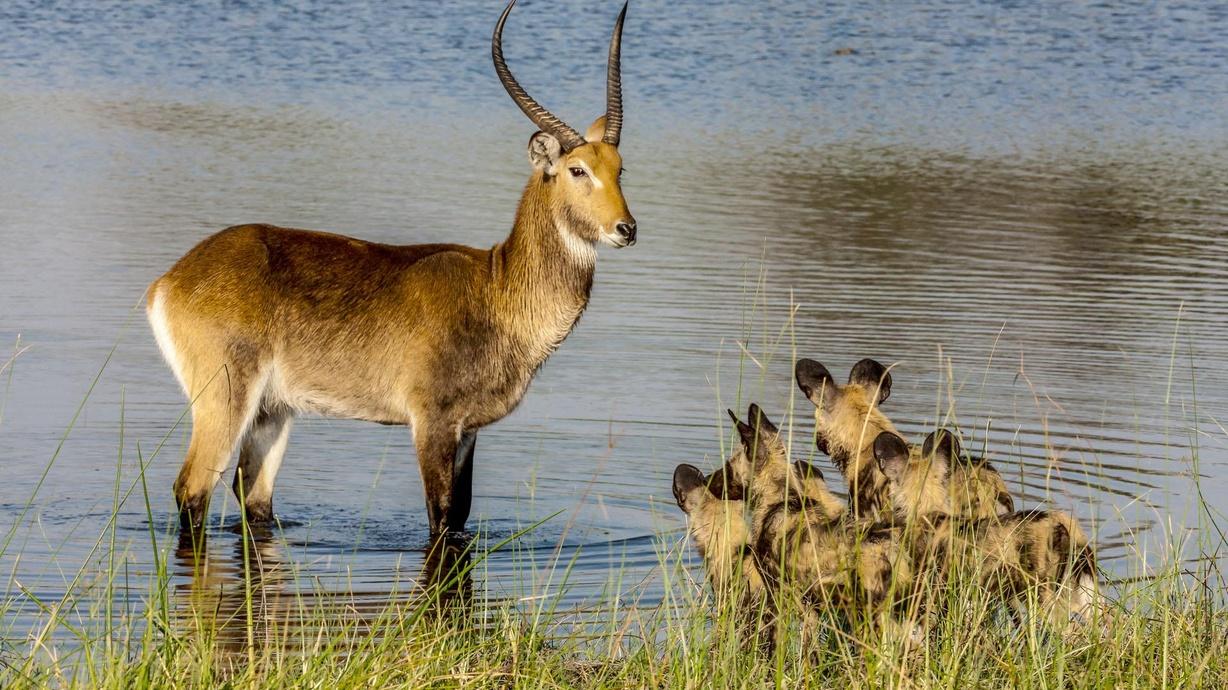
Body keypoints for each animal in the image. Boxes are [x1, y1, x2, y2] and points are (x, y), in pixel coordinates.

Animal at [146, 0, 637, 536]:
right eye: (577, 169)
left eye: (620, 169)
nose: (626, 228)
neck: (497, 289)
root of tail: (170, 279)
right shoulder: (432, 423)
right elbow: (440, 519)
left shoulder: (468, 432)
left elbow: (458, 515)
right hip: (225, 401)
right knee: (192, 490)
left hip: (272, 412)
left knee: (252, 498)